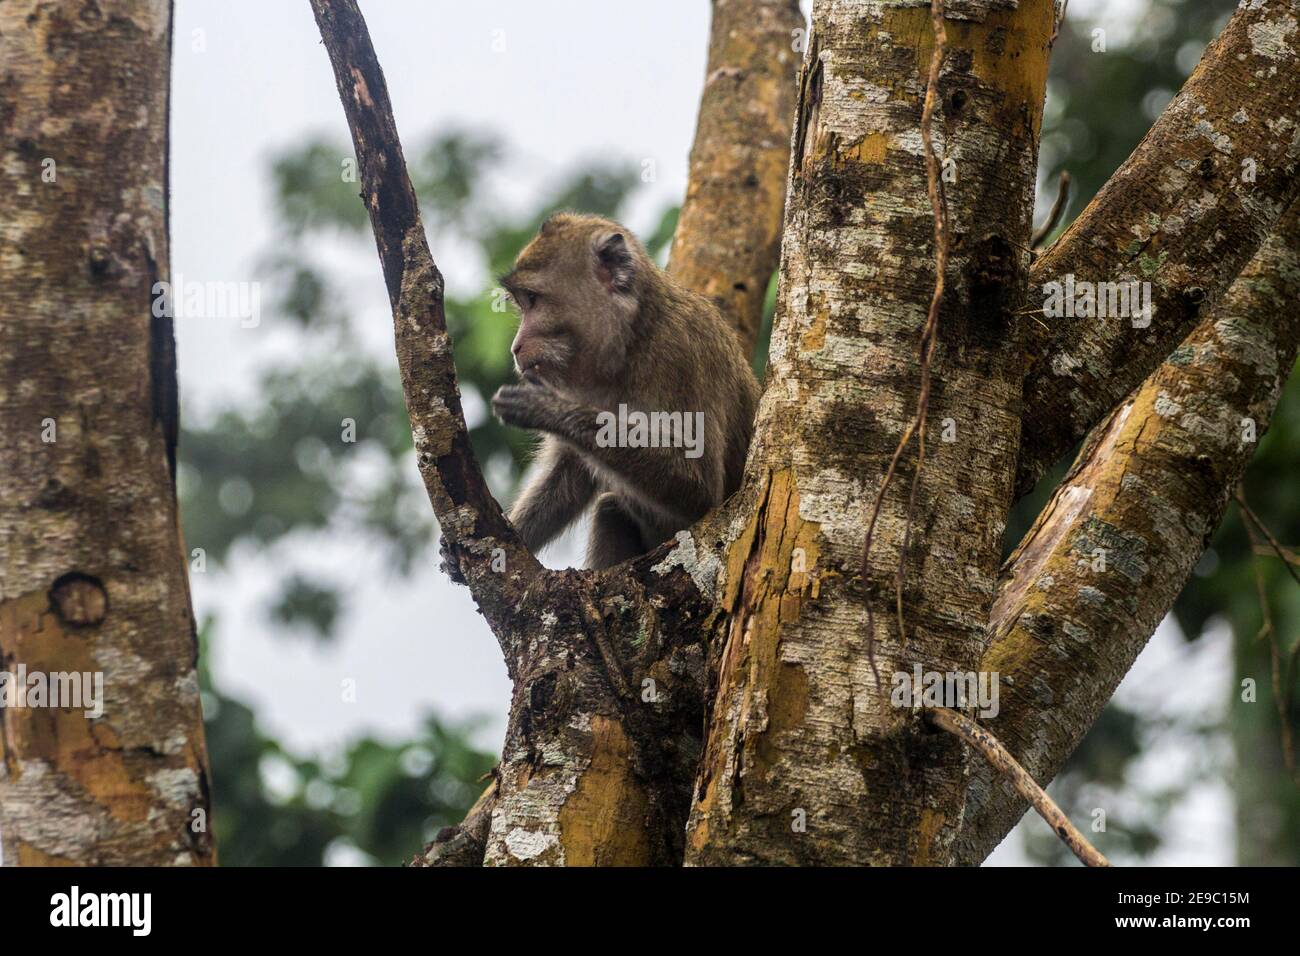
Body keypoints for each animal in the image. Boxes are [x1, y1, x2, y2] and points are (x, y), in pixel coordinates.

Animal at [491, 212, 760, 570]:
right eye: (522, 304)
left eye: (532, 300)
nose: (516, 347)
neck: (634, 339)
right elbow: (571, 474)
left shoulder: (680, 356)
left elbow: (700, 488)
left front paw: (549, 411)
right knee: (610, 512)